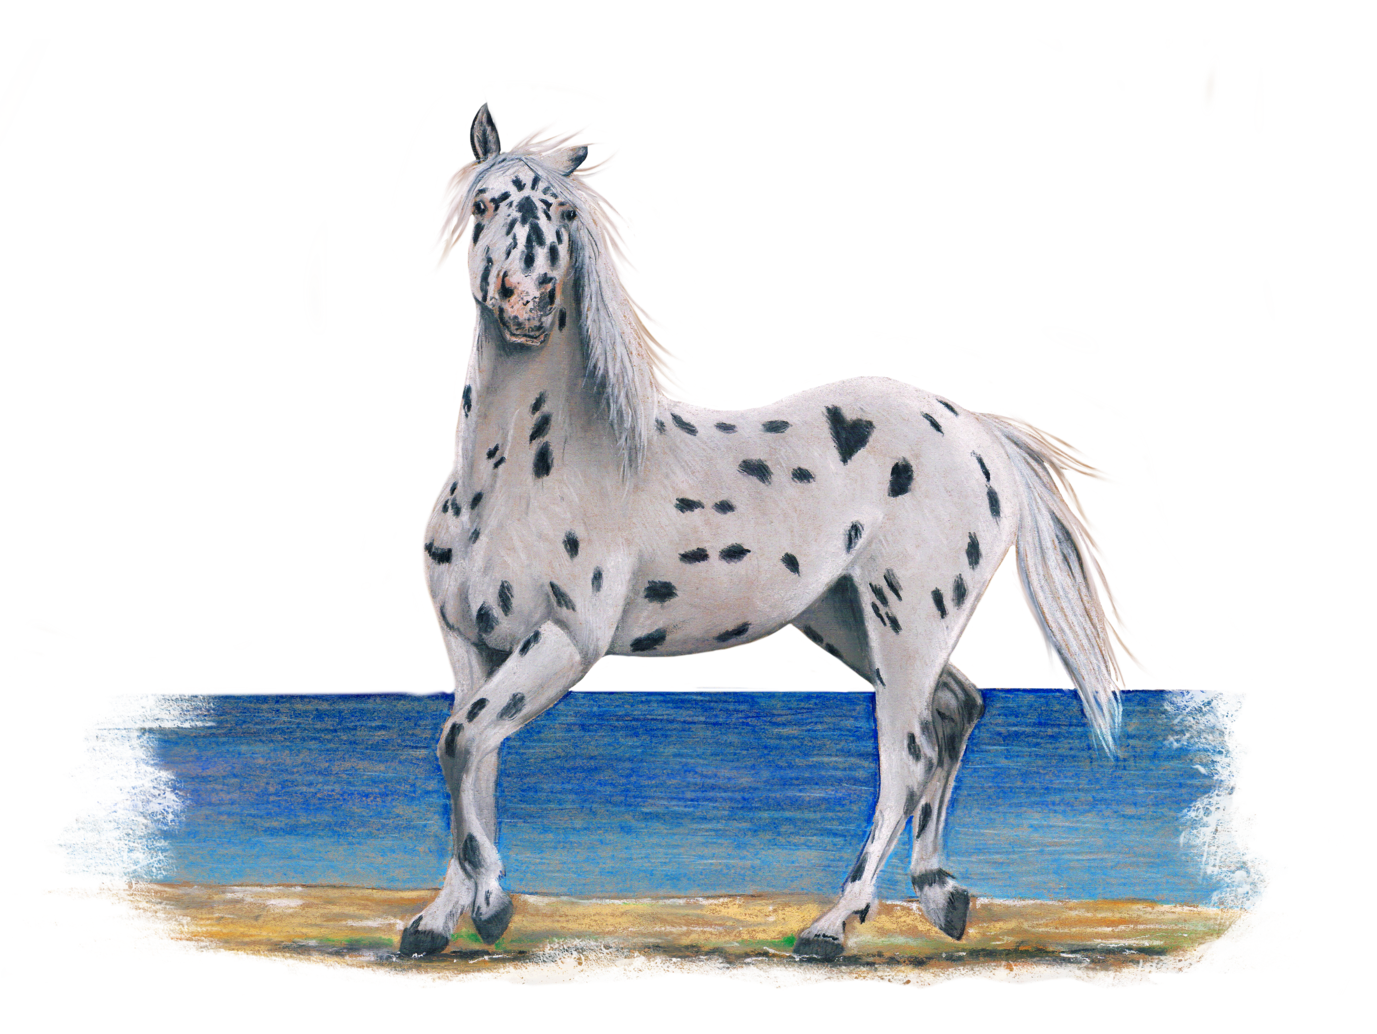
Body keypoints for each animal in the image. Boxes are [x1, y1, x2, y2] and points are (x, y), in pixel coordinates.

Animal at [404, 102, 1133, 960]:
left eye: (561, 215)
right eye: (483, 206)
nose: (528, 302)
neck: (527, 467)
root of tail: (976, 430)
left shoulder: (564, 639)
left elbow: (460, 743)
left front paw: (487, 904)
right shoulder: (474, 643)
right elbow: (471, 757)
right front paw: (440, 918)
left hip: (908, 622)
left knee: (908, 755)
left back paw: (831, 926)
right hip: (850, 619)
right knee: (954, 710)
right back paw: (940, 895)